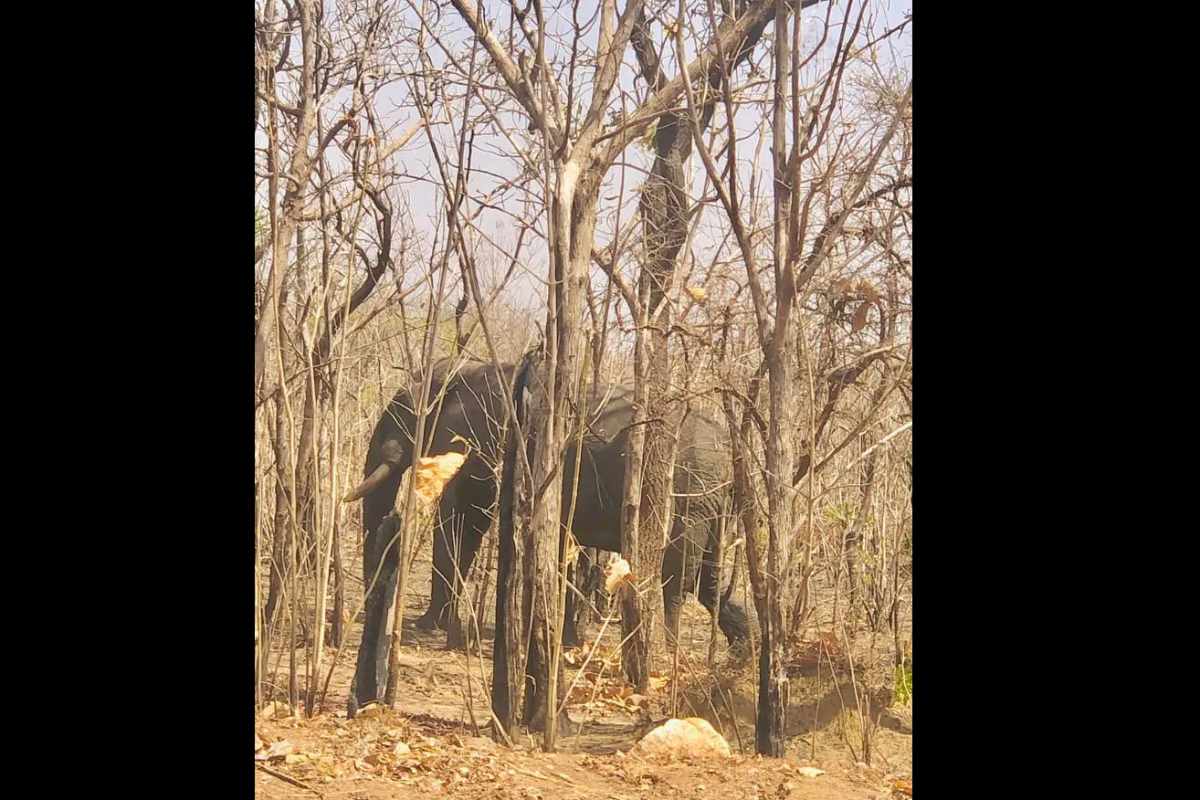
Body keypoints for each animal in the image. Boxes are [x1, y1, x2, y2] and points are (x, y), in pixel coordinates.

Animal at [345, 355, 749, 711]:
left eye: (402, 412)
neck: (465, 368)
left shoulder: (478, 439)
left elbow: (460, 520)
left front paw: (429, 626)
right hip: (711, 504)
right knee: (709, 579)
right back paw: (740, 657)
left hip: (687, 496)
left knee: (677, 578)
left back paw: (666, 657)